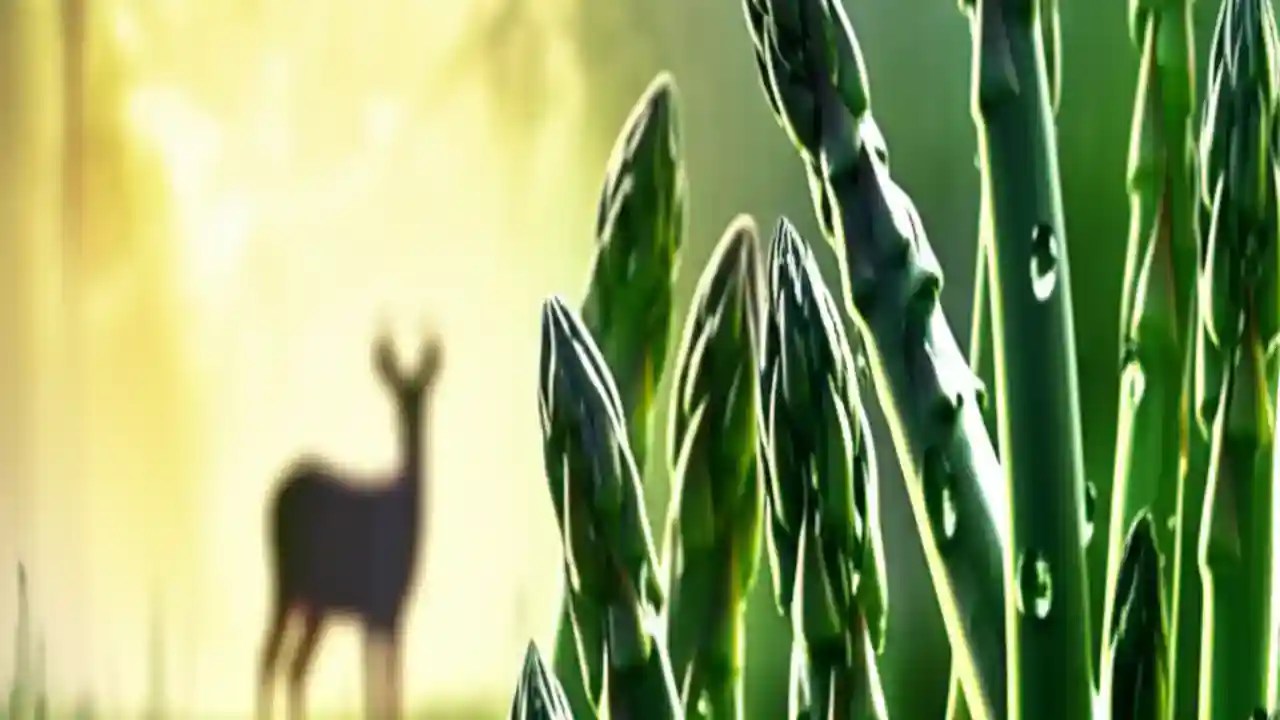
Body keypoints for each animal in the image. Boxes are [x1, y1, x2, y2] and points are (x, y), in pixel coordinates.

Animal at [257, 330, 442, 720]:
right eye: (397, 393)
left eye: (421, 392)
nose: (411, 415)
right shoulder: (374, 603)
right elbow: (373, 682)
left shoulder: (394, 608)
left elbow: (393, 684)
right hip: (285, 578)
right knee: (269, 655)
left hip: (315, 602)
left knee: (295, 665)